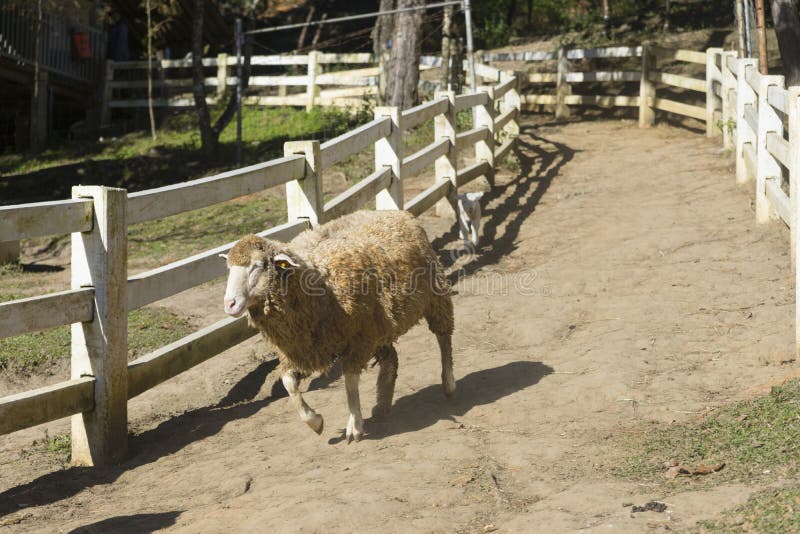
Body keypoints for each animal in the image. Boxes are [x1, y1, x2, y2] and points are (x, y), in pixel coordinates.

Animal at [221, 210, 455, 442]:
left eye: (258, 266)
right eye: (229, 269)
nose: (229, 304)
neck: (319, 282)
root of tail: (396, 212)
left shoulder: (357, 340)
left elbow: (350, 384)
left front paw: (354, 426)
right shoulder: (304, 349)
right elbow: (288, 383)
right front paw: (315, 422)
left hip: (434, 294)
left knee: (444, 337)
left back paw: (449, 384)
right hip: (379, 325)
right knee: (391, 357)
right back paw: (382, 404)